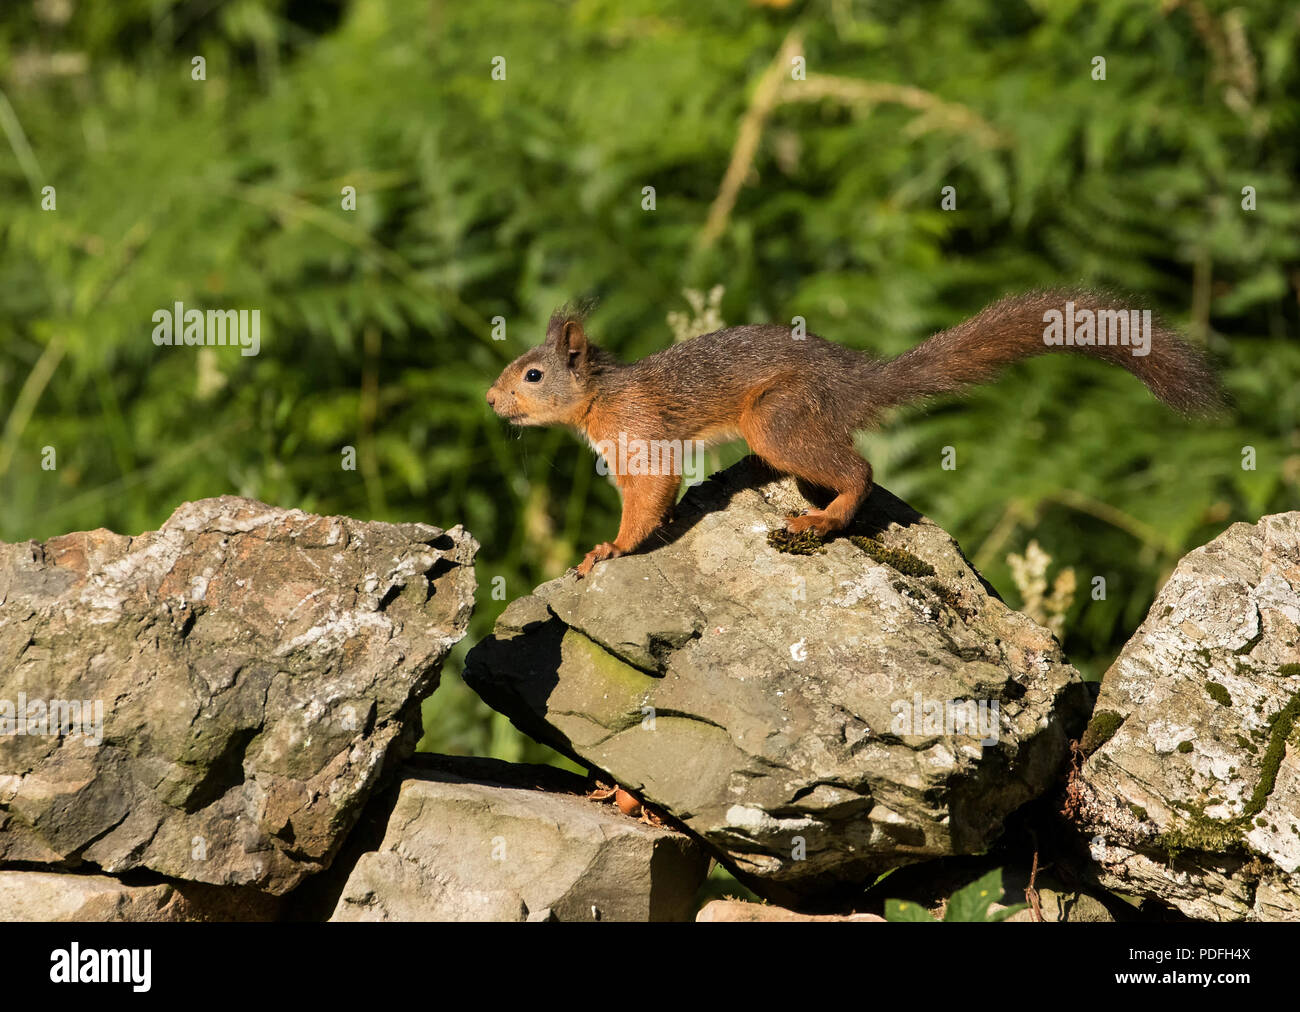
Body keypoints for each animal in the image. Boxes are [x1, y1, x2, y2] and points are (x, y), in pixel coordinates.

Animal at [487, 290, 1223, 577]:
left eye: (532, 374)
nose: (491, 400)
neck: (600, 396)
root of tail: (853, 379)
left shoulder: (643, 434)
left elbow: (648, 498)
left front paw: (610, 548)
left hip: (776, 417)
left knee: (860, 471)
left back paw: (825, 518)